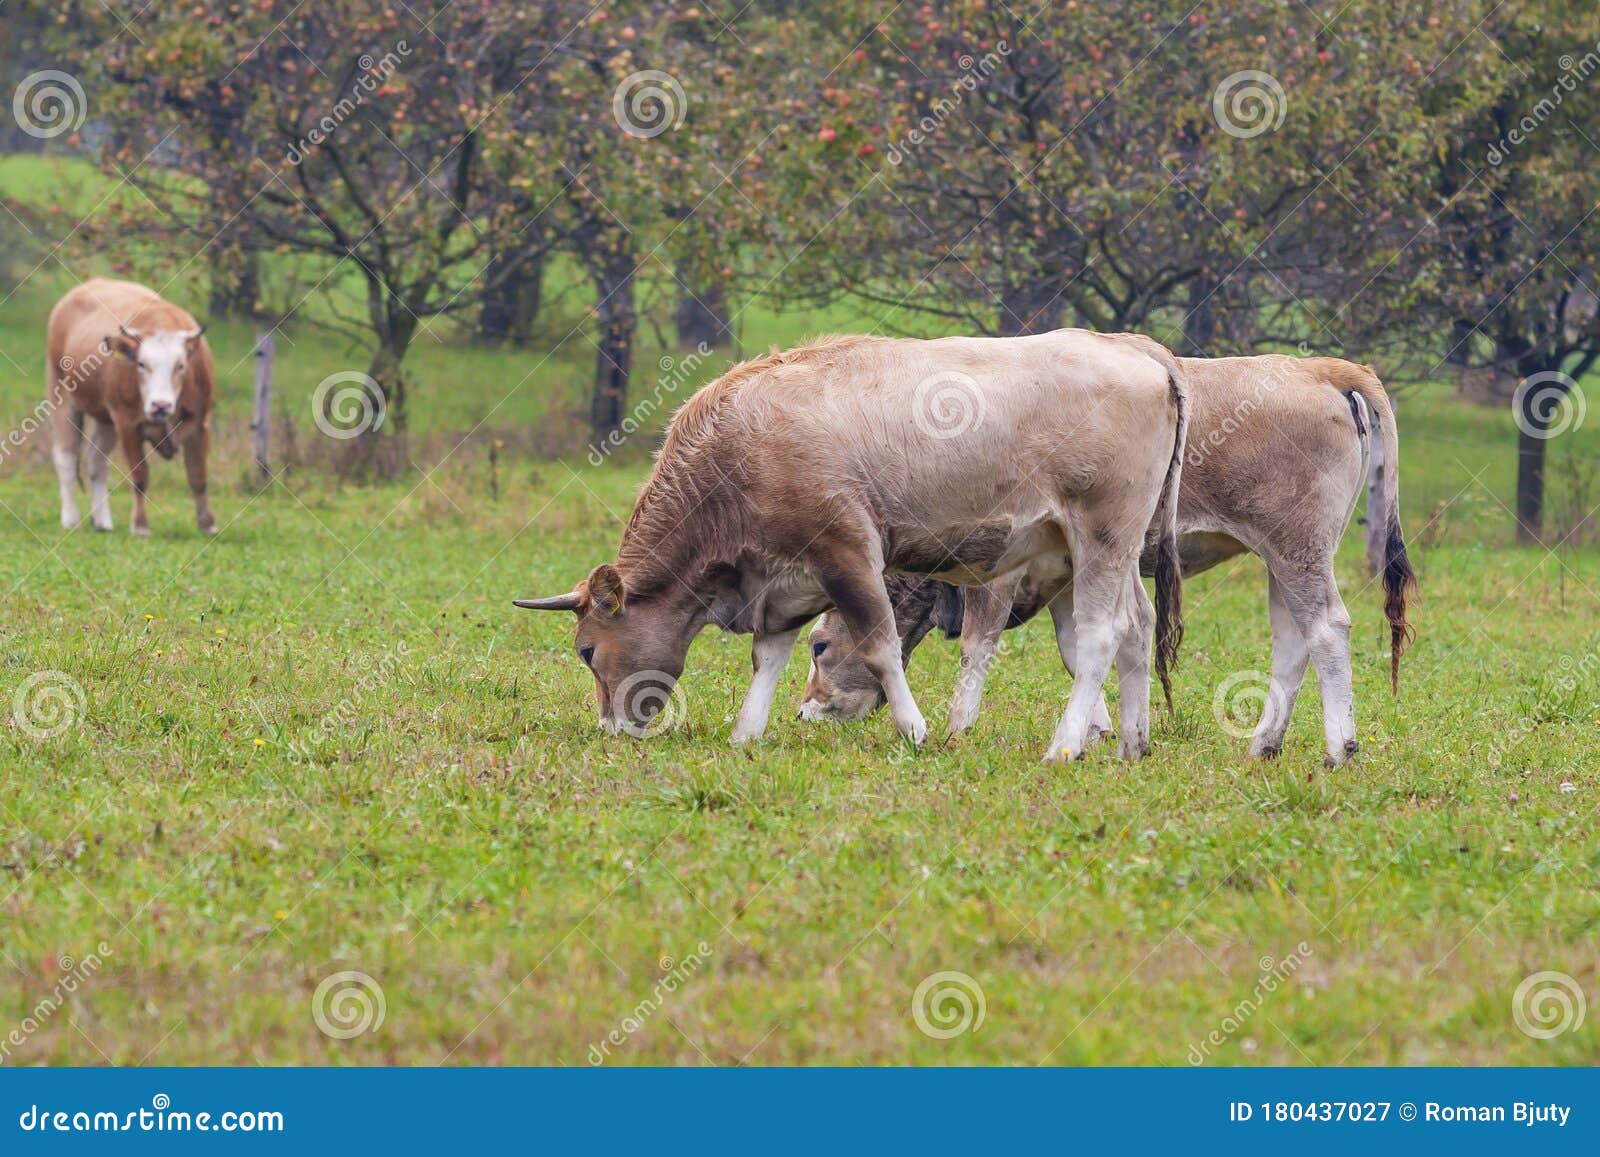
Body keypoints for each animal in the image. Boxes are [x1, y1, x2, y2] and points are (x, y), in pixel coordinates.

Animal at [46, 278, 218, 537]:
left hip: (105, 418)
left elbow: (198, 475)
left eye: (180, 365)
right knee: (65, 457)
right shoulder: (127, 424)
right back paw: (71, 519)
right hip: (62, 398)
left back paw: (102, 521)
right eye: (141, 363)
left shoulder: (200, 423)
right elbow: (140, 476)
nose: (160, 405)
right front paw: (140, 526)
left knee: (96, 460)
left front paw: (207, 524)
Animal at [516, 331, 1189, 762]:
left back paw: (1064, 745)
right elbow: (768, 657)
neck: (737, 448)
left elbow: (880, 647)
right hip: (1098, 552)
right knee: (1134, 628)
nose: (609, 729)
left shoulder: (847, 554)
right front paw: (746, 734)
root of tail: (1139, 351)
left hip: (1103, 534)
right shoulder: (780, 578)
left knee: (1101, 635)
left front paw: (916, 731)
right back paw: (1132, 744)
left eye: (585, 651)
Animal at [798, 355, 1417, 768]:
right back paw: (1264, 744)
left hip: (1297, 550)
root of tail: (1320, 368)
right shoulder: (1067, 577)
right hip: (1281, 558)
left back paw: (1339, 749)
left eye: (818, 645)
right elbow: (1078, 650)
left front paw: (958, 729)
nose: (805, 711)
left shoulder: (1001, 578)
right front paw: (1099, 731)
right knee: (1293, 642)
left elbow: (980, 646)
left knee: (1328, 630)